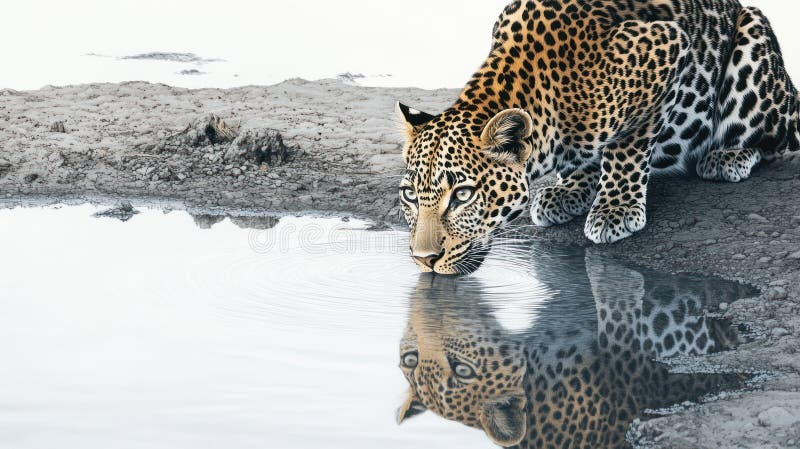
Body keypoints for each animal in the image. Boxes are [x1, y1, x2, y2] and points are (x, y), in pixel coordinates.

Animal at [396, 0, 800, 274]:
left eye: (463, 195)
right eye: (410, 196)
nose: (423, 260)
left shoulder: (665, 46)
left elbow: (626, 145)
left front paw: (615, 210)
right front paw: (573, 189)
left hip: (753, 42)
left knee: (772, 142)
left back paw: (728, 156)